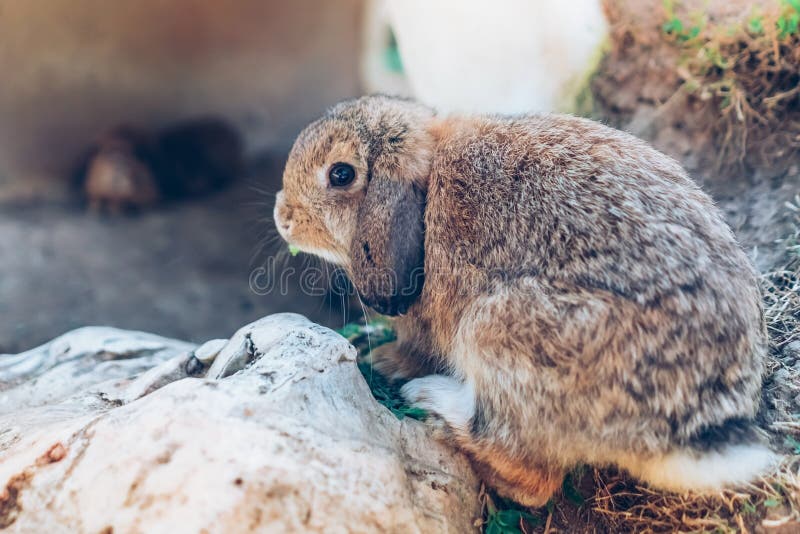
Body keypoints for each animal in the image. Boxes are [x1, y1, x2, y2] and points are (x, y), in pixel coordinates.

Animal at [274, 95, 774, 506]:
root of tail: (689, 429)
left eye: (340, 174)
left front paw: (384, 362)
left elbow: (415, 349)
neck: (429, 175)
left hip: (496, 330)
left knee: (528, 475)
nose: (283, 217)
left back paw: (436, 410)